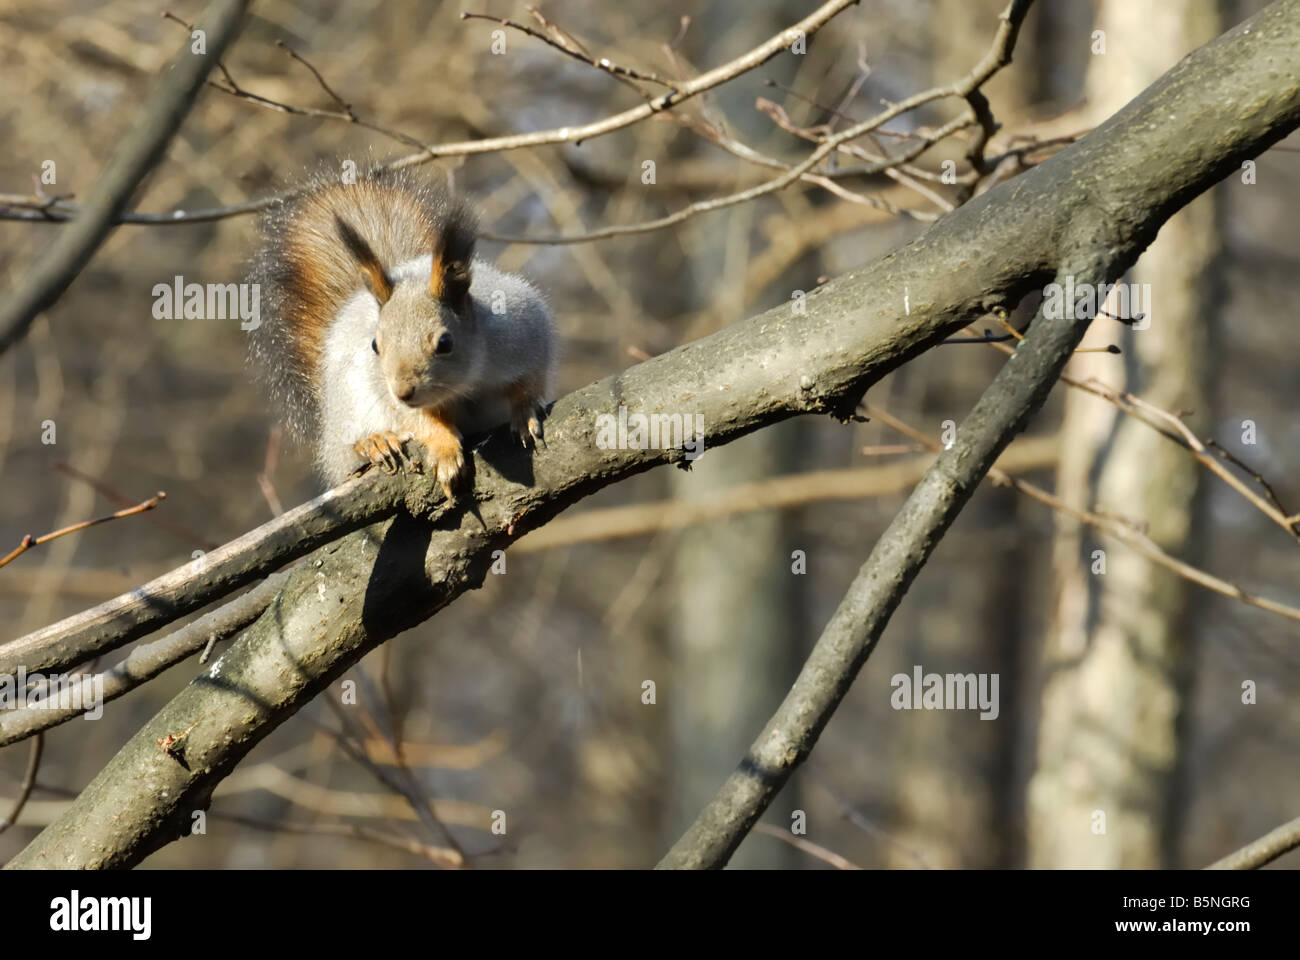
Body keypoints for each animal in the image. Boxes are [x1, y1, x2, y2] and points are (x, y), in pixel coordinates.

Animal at [248, 169, 555, 498]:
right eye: (374, 345)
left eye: (444, 342)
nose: (404, 391)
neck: (463, 383)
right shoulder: (392, 394)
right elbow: (419, 419)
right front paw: (445, 449)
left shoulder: (523, 333)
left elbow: (531, 381)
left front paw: (524, 412)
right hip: (348, 406)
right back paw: (374, 441)